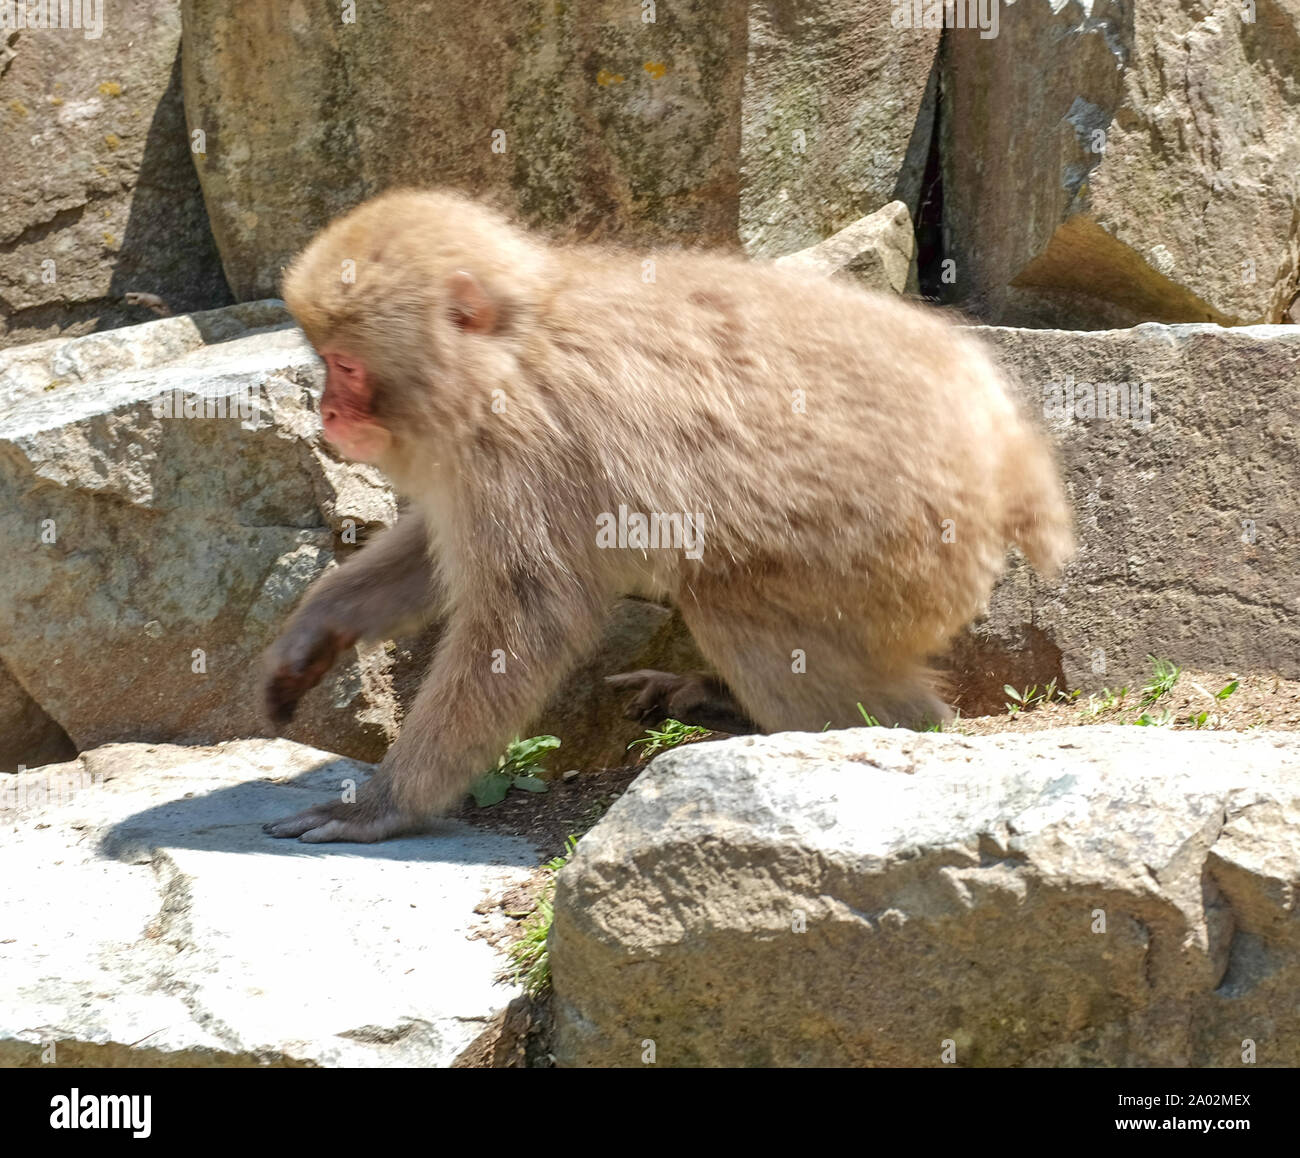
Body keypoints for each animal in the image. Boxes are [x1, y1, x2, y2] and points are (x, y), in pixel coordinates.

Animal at [261, 188, 1073, 843]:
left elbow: (527, 615)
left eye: (347, 367)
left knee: (730, 600)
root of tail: (1005, 456)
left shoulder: (519, 445)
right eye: (326, 361)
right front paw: (316, 630)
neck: (509, 350)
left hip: (907, 558)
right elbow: (433, 555)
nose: (327, 412)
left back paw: (901, 725)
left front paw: (387, 804)